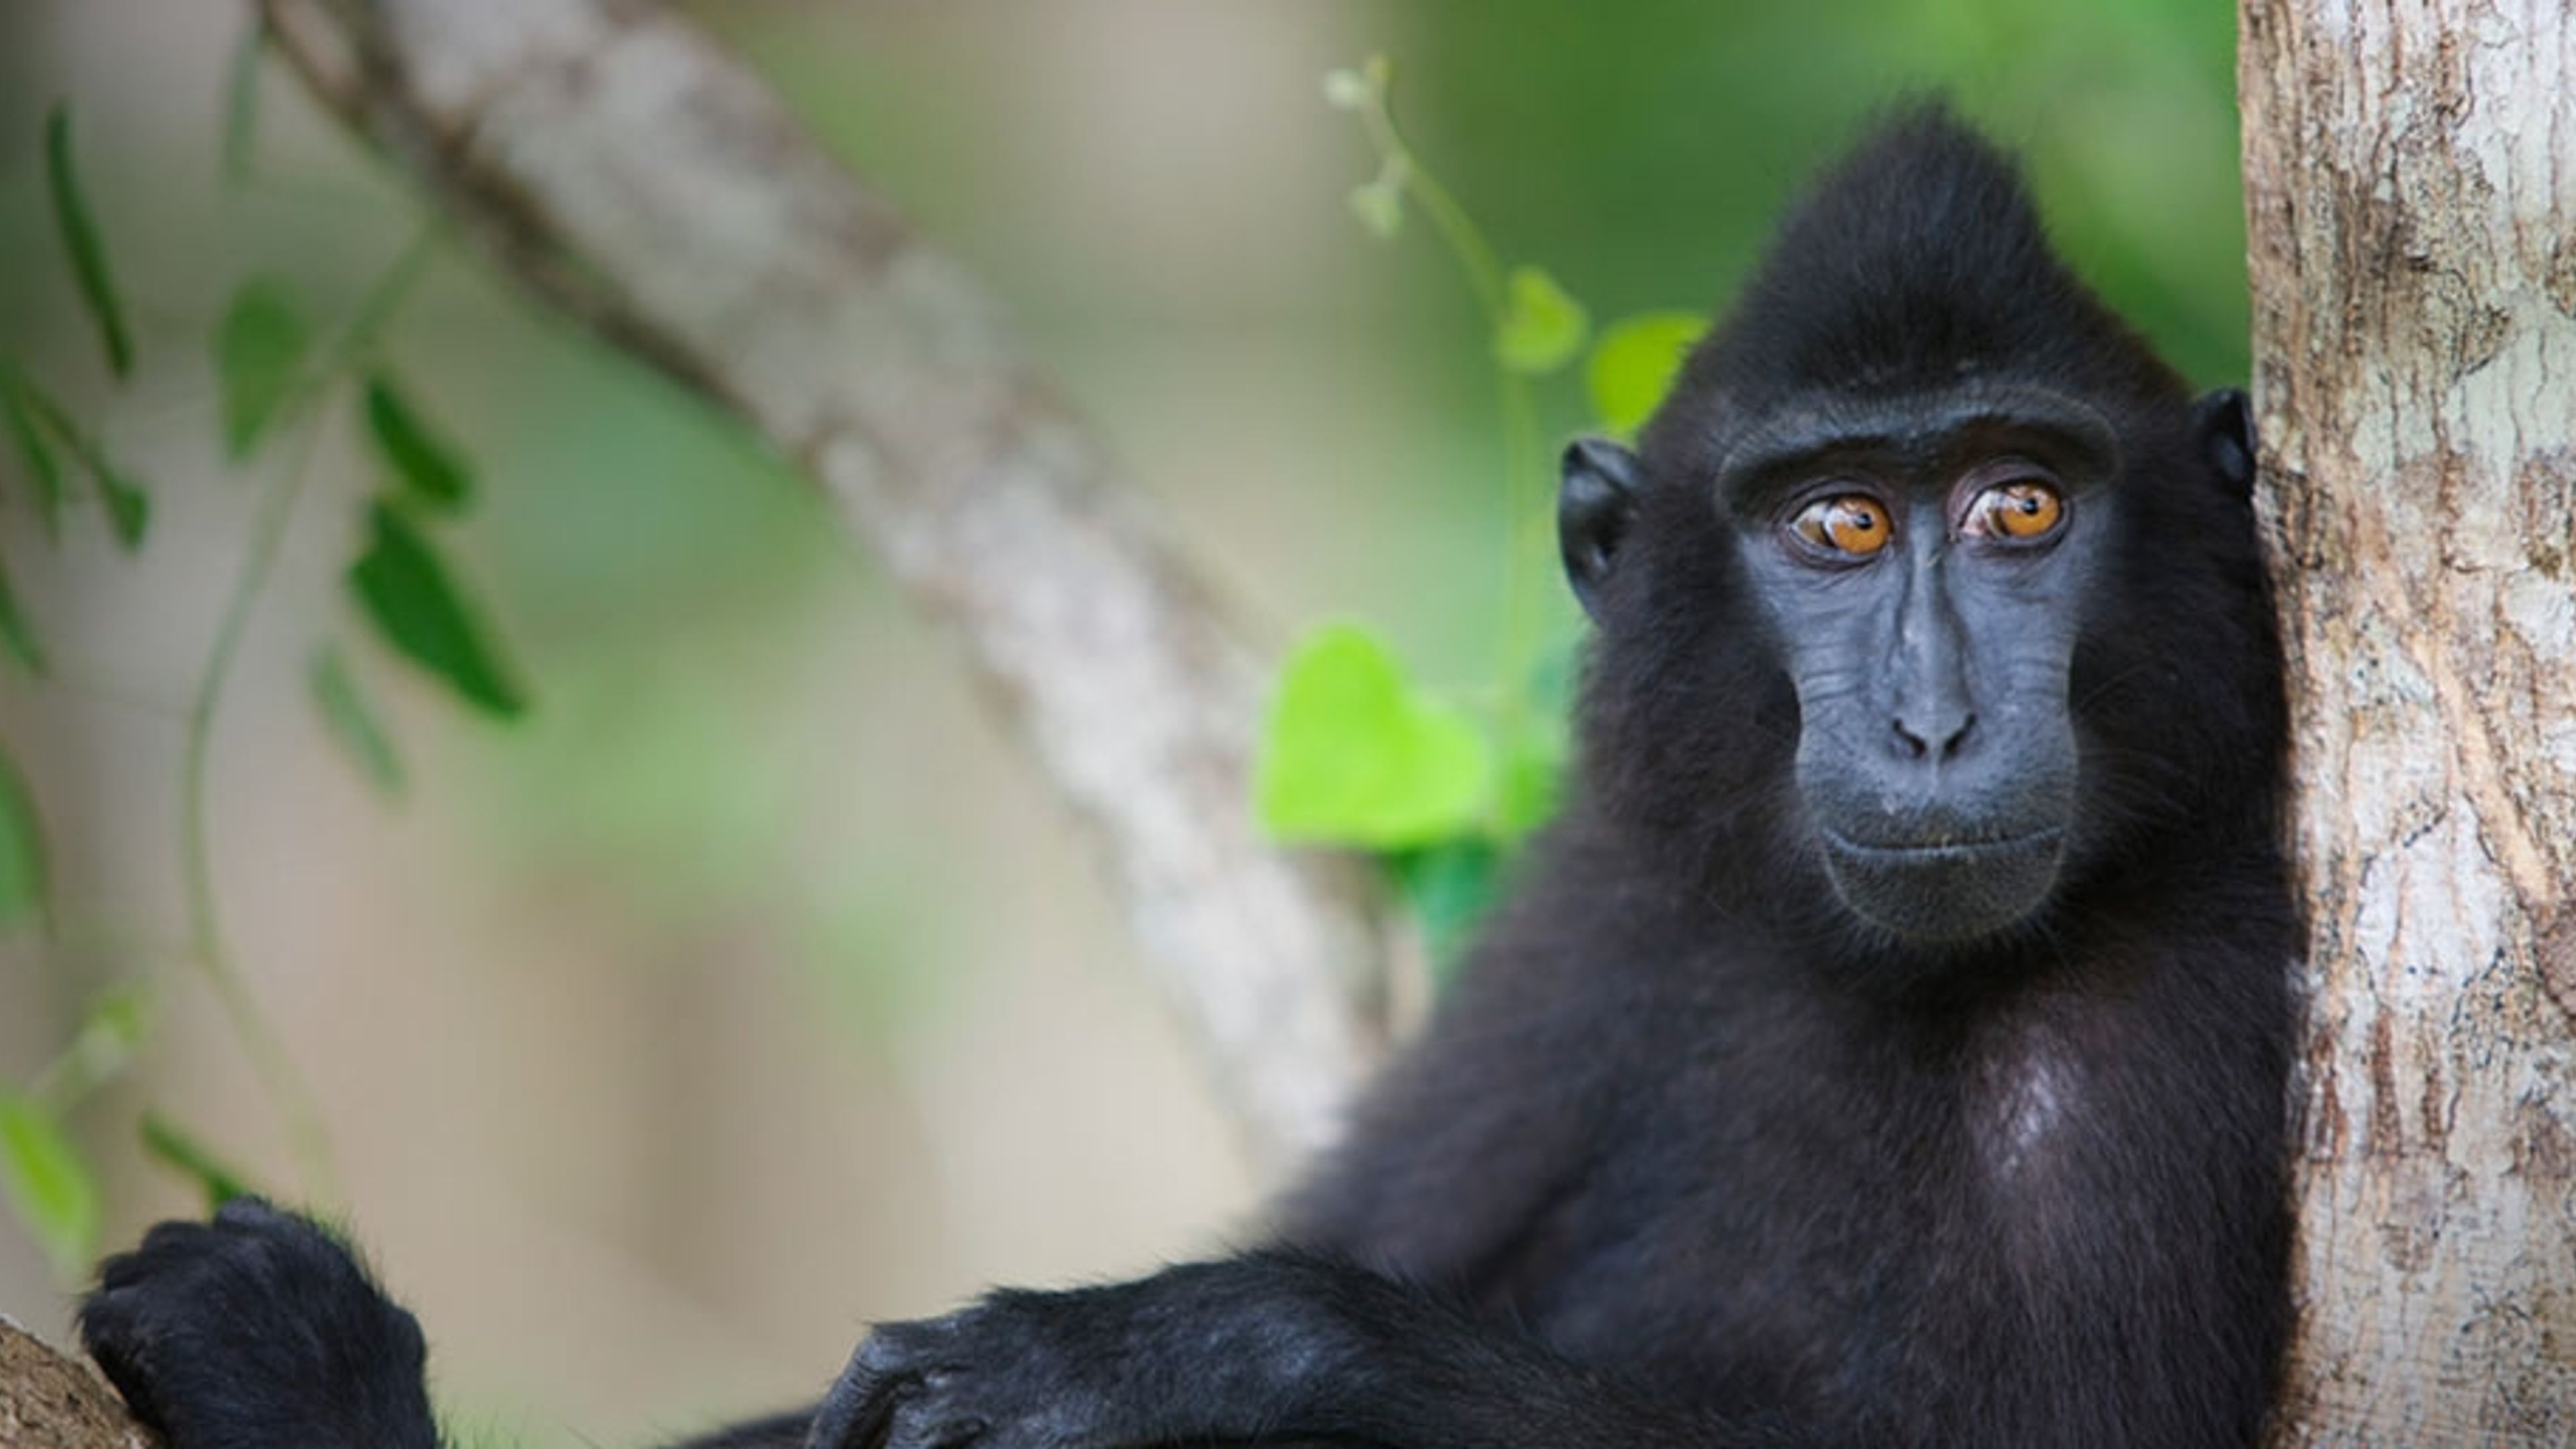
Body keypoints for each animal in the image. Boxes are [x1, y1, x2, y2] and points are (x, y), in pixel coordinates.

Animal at [76, 103, 2294, 1449]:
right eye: (1834, 527)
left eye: (2021, 505)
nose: (1929, 724)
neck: (1872, 979)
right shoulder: (1601, 912)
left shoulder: (2190, 994)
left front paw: (1188, 1355)